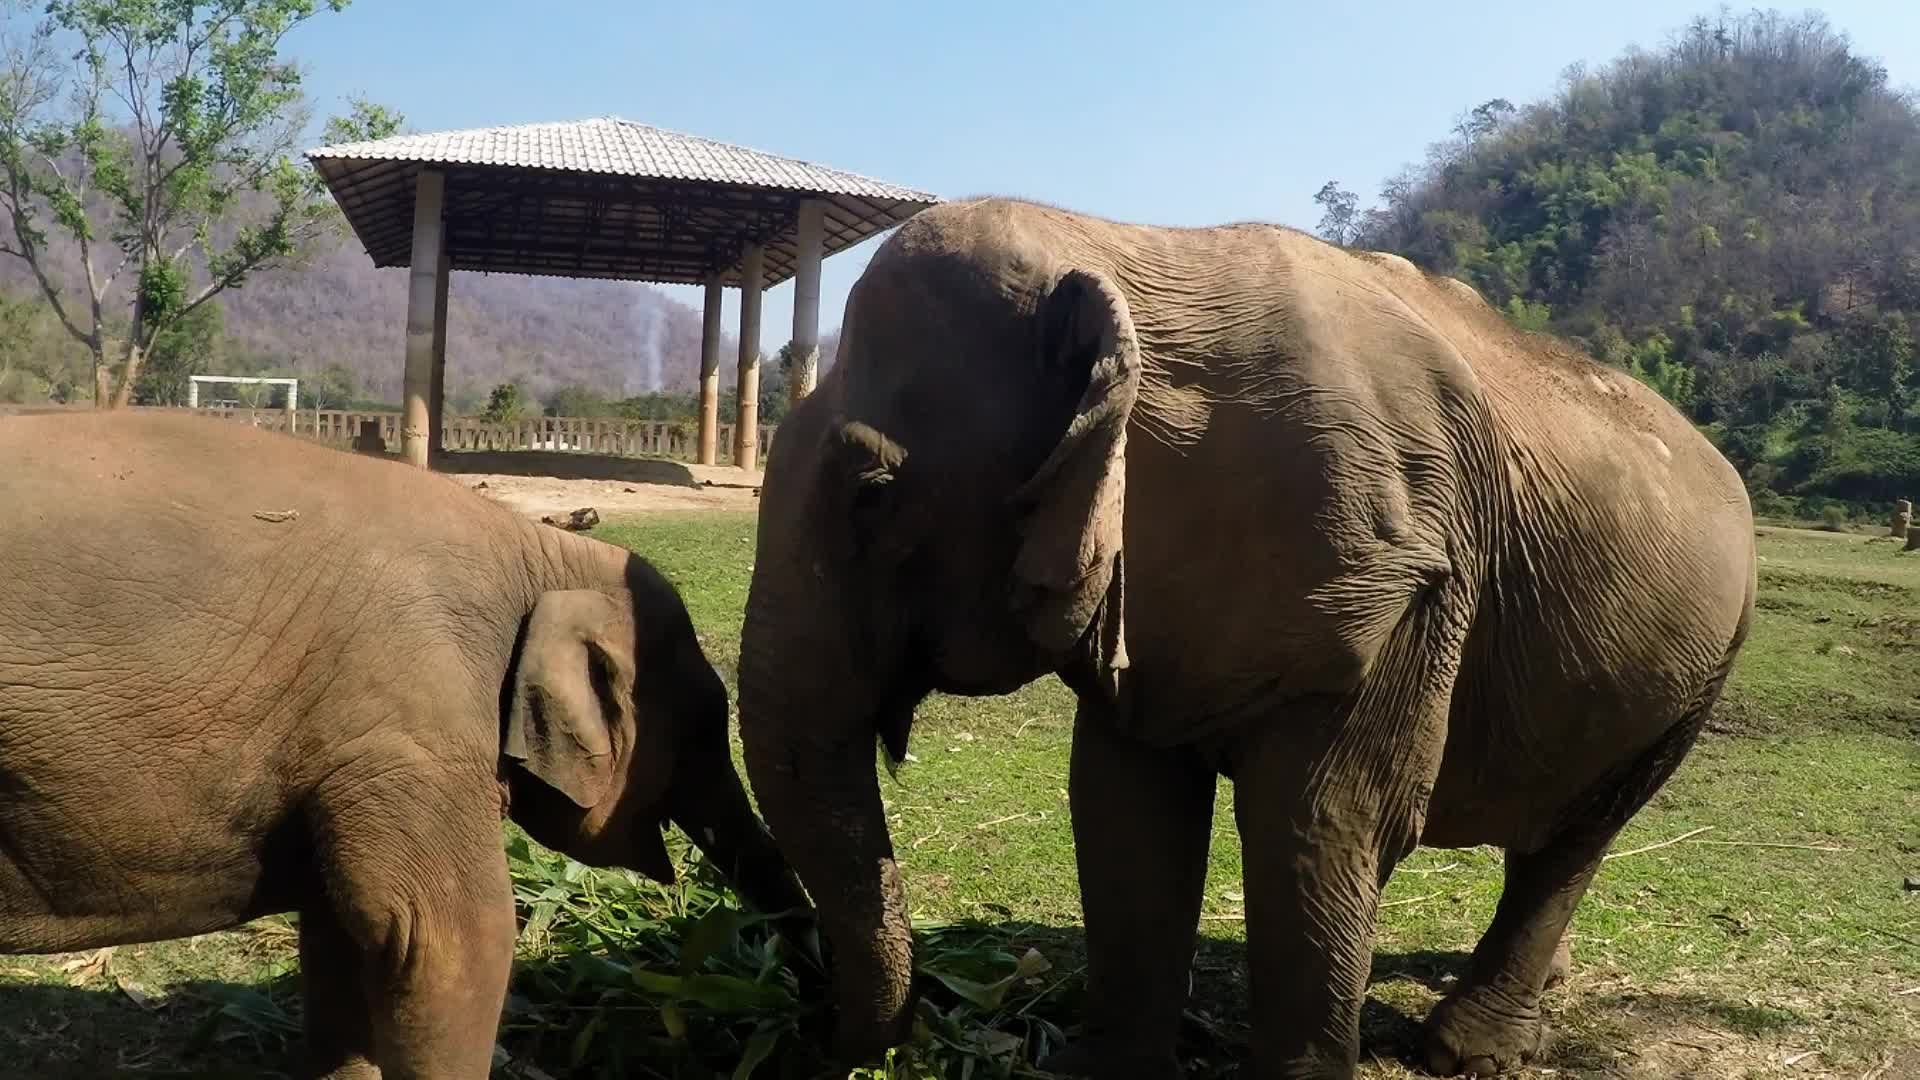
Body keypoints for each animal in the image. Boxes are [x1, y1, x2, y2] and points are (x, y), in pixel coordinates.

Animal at [0, 411, 807, 1079]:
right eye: (705, 725)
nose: (791, 991)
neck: (543, 549)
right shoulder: (411, 725)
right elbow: (447, 940)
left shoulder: (350, 755)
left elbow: (347, 943)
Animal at [735, 198, 1756, 1078]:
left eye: (872, 495)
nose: (810, 1024)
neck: (1118, 245)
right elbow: (1121, 805)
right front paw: (1111, 1071)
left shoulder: (1398, 578)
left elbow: (1326, 819)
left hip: (1703, 673)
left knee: (1578, 838)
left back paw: (1465, 1052)